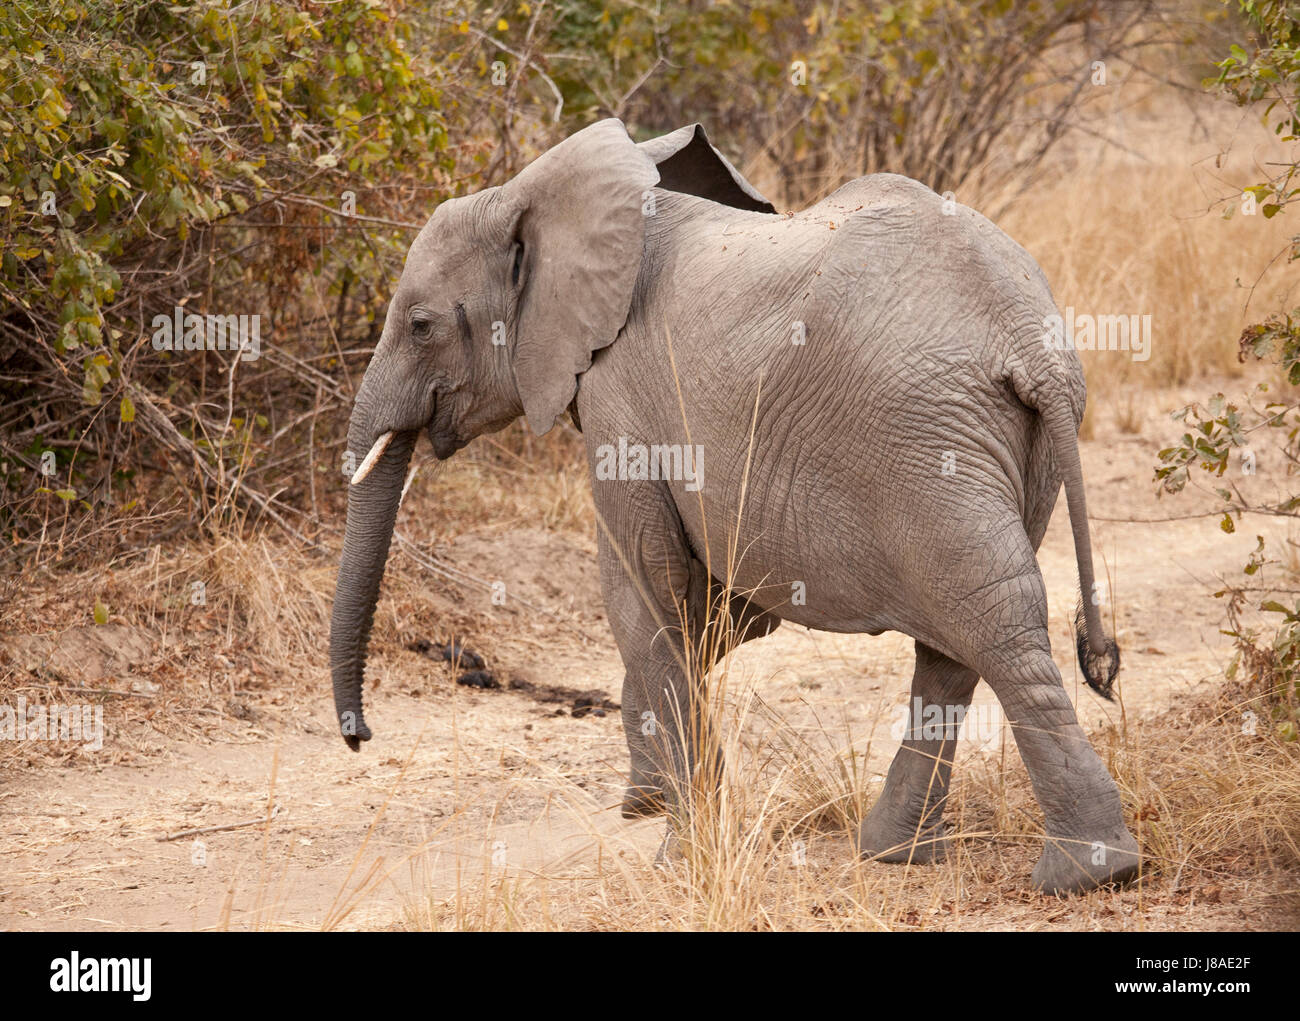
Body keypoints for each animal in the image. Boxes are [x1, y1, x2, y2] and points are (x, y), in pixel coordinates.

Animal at [329, 118, 1141, 895]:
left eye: (421, 325)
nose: (359, 736)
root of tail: (1031, 343)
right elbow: (716, 615)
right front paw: (648, 802)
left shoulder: (624, 398)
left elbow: (646, 596)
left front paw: (677, 855)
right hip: (1001, 452)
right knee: (960, 642)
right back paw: (897, 854)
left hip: (927, 443)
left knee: (993, 627)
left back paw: (1085, 874)